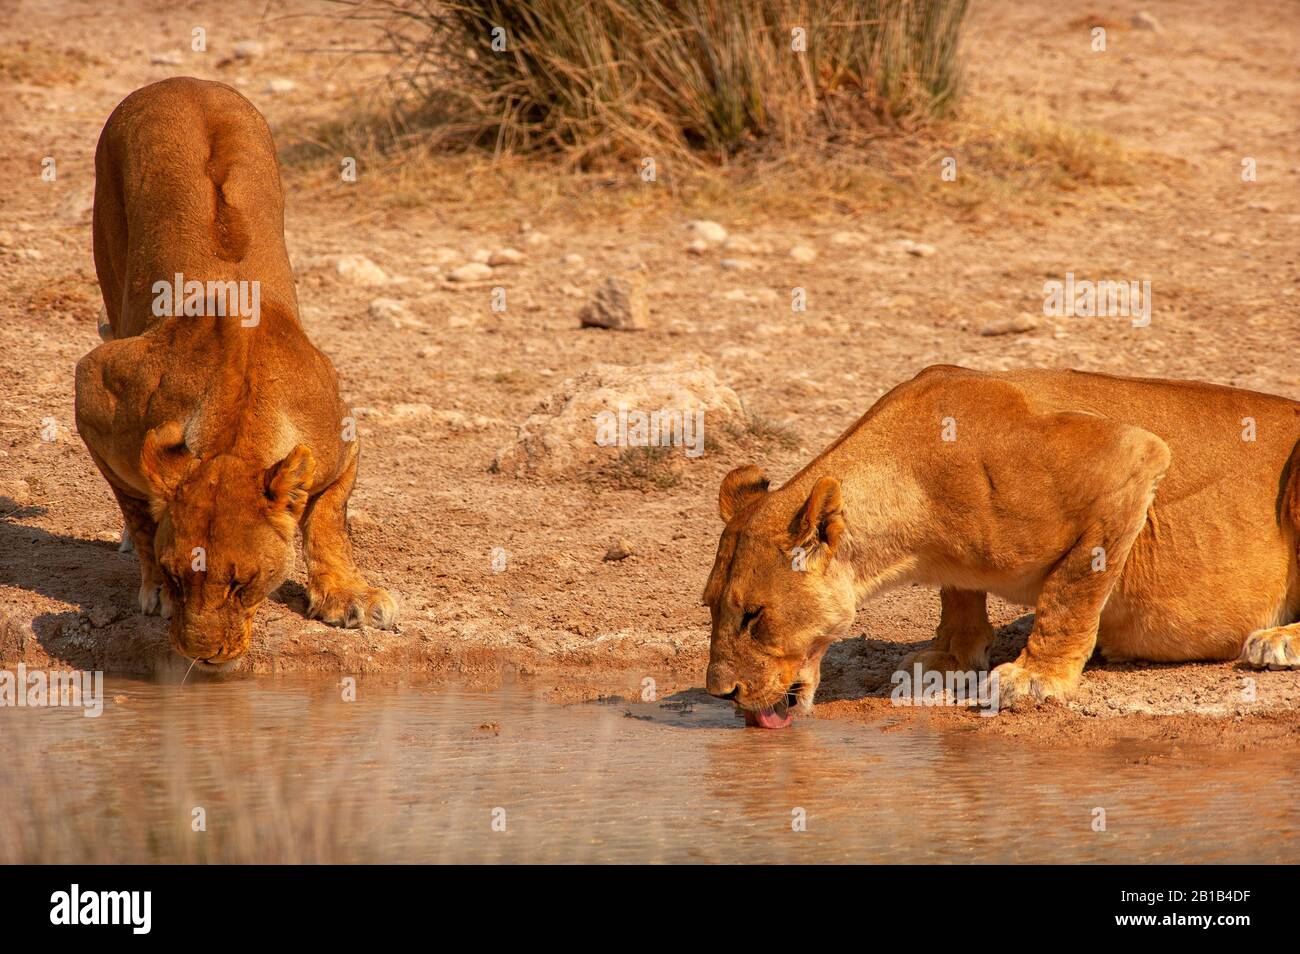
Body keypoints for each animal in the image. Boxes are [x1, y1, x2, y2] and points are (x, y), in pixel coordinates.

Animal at [75, 77, 397, 664]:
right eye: (178, 578)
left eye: (242, 584)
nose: (200, 655)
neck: (239, 411)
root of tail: (182, 80)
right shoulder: (96, 388)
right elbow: (137, 506)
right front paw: (152, 581)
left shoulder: (342, 432)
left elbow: (329, 517)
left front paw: (348, 596)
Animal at [704, 365, 1300, 724]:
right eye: (710, 607)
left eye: (753, 616)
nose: (719, 694)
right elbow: (959, 593)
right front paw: (950, 655)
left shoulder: (1130, 457)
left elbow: (1072, 590)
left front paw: (1036, 678)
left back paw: (1277, 641)